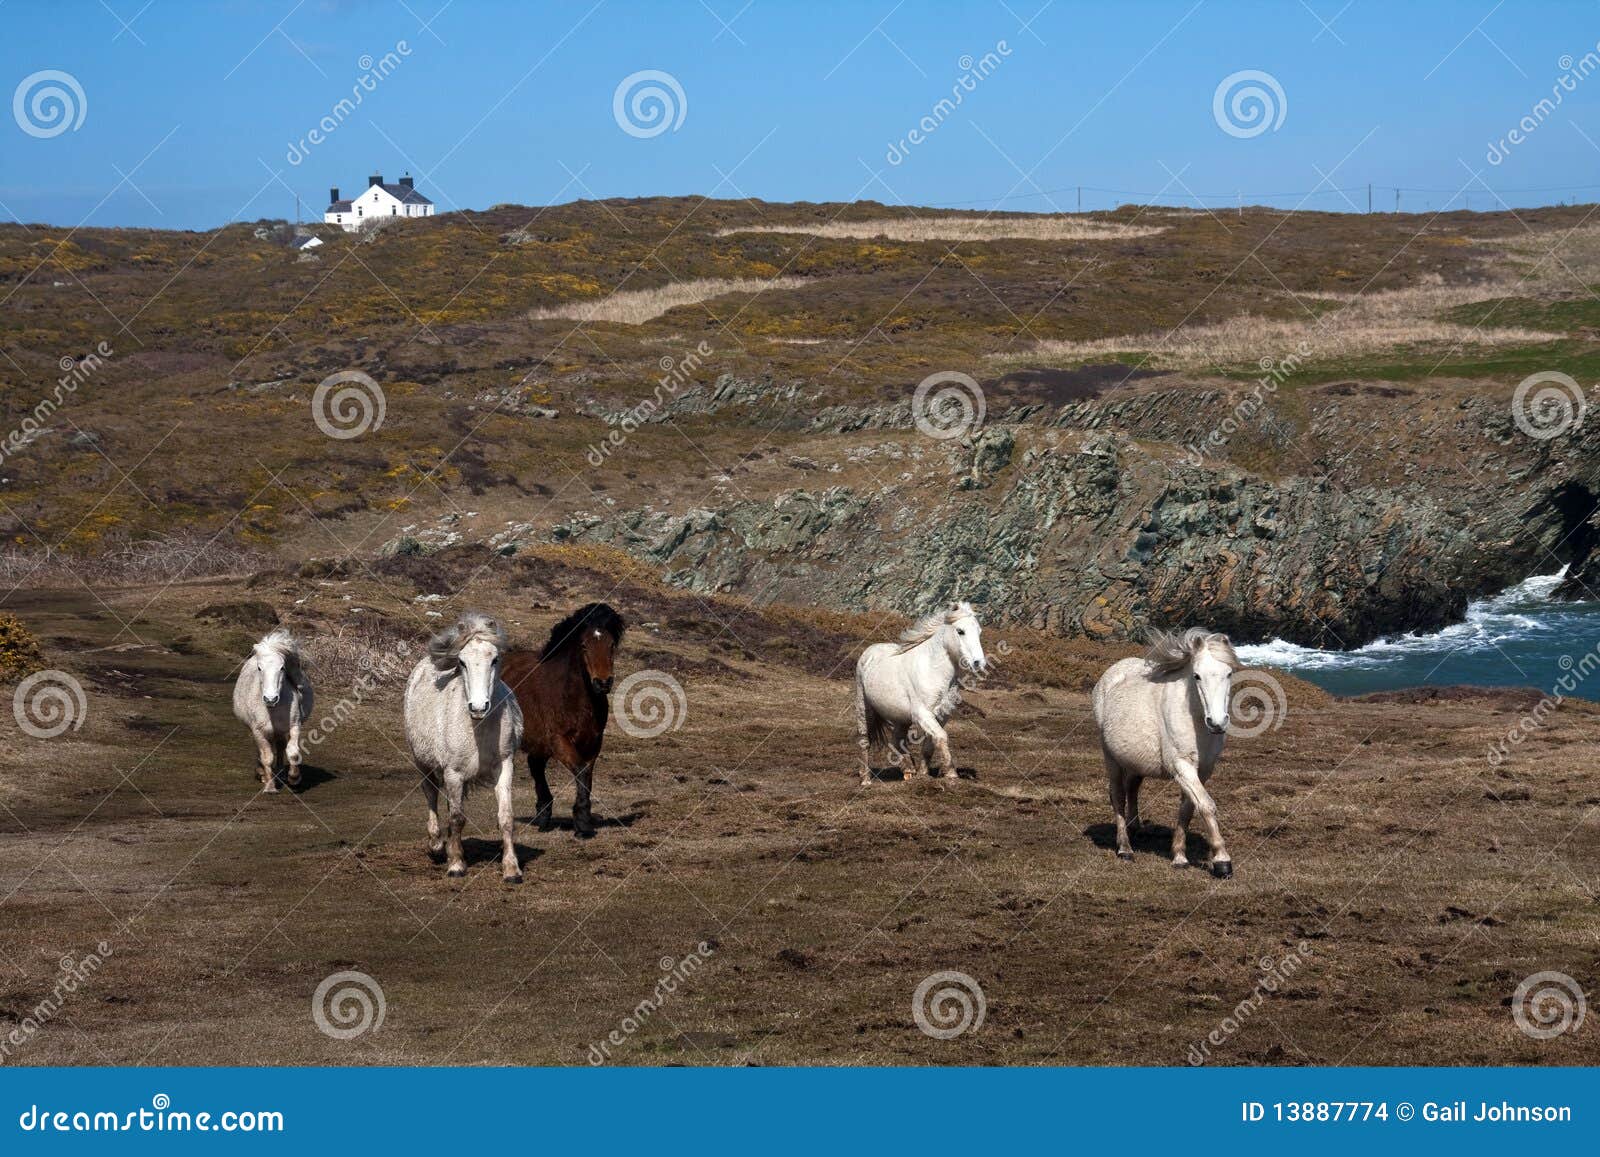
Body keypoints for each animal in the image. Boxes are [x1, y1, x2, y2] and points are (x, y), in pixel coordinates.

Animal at [231, 628, 313, 793]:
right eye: (259, 668)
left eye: (282, 668)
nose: (270, 699)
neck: (272, 711)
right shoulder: (258, 731)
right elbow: (267, 757)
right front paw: (270, 786)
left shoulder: (294, 726)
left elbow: (293, 753)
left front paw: (294, 778)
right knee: (262, 751)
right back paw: (262, 773)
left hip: (280, 731)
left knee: (281, 746)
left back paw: (280, 773)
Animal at [403, 612, 526, 882]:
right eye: (462, 662)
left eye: (495, 659)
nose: (478, 707)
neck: (478, 730)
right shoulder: (453, 772)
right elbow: (457, 819)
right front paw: (457, 865)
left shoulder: (504, 766)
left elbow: (506, 818)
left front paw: (511, 868)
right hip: (423, 762)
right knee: (431, 794)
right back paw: (436, 845)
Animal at [501, 602, 625, 839]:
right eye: (584, 645)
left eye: (612, 645)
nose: (603, 683)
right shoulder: (560, 741)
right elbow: (580, 771)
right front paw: (583, 826)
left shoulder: (593, 743)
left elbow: (586, 776)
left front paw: (583, 822)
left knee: (536, 766)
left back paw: (543, 817)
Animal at [855, 601, 987, 785]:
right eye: (960, 631)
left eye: (979, 631)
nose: (979, 663)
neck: (933, 670)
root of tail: (868, 653)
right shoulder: (922, 714)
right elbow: (942, 737)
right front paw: (951, 774)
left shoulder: (941, 715)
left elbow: (930, 744)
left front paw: (923, 774)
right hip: (863, 707)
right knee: (864, 741)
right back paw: (866, 779)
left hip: (900, 719)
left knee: (896, 741)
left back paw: (909, 770)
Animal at [1091, 628, 1240, 878]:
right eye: (1197, 676)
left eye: (1229, 673)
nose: (1217, 723)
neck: (1194, 720)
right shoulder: (1182, 766)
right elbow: (1206, 805)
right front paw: (1222, 861)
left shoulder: (1203, 770)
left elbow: (1188, 809)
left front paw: (1179, 856)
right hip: (1111, 759)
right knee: (1118, 796)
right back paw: (1125, 848)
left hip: (1135, 763)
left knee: (1132, 788)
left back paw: (1135, 828)